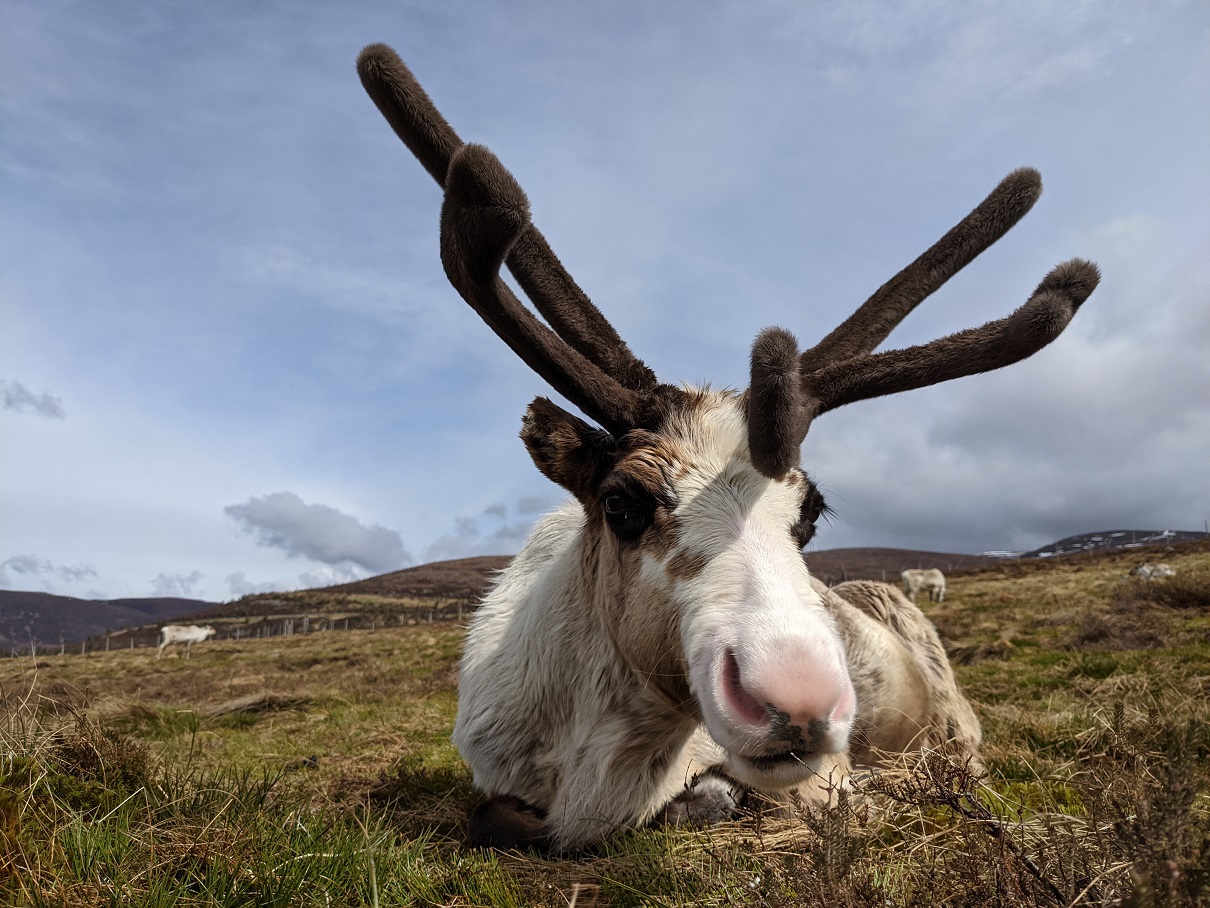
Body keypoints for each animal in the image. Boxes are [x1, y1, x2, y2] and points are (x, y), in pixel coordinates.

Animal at [356, 43, 1099, 853]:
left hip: (951, 714)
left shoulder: (814, 781)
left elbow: (720, 797)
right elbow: (497, 817)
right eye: (620, 501)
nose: (799, 701)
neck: (595, 766)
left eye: (809, 514)